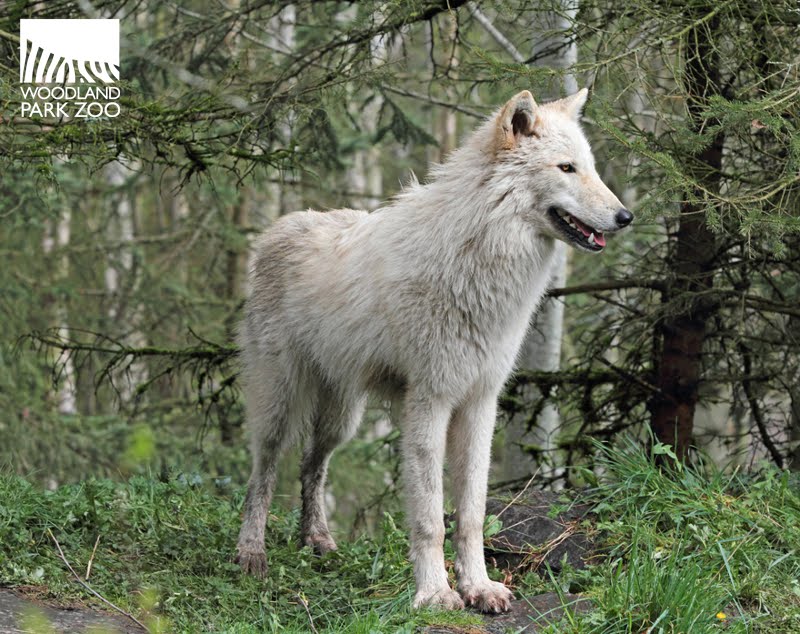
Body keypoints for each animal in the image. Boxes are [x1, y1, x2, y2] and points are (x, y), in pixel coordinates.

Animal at [235, 88, 632, 613]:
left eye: (590, 167)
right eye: (566, 168)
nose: (626, 217)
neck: (477, 257)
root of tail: (277, 228)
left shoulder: (480, 404)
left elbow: (471, 515)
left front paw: (479, 587)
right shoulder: (430, 401)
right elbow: (428, 517)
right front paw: (435, 593)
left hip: (343, 419)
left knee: (311, 466)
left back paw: (317, 542)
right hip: (280, 403)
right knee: (262, 472)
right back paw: (251, 554)